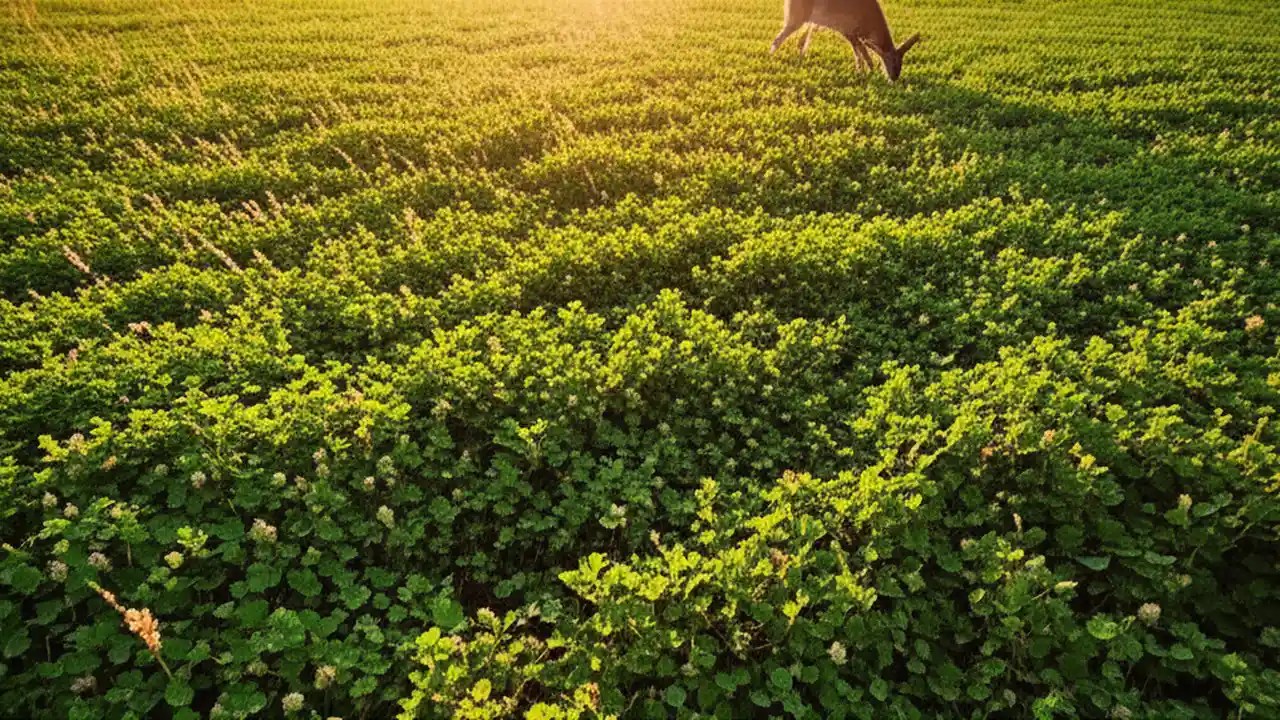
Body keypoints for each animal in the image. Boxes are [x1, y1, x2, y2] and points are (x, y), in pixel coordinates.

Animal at [771, 0, 921, 82]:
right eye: (892, 62)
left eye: (901, 62)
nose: (894, 78)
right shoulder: (849, 31)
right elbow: (861, 52)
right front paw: (866, 71)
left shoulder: (852, 33)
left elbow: (861, 51)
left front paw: (867, 71)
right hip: (797, 18)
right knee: (778, 39)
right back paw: (770, 58)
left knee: (800, 40)